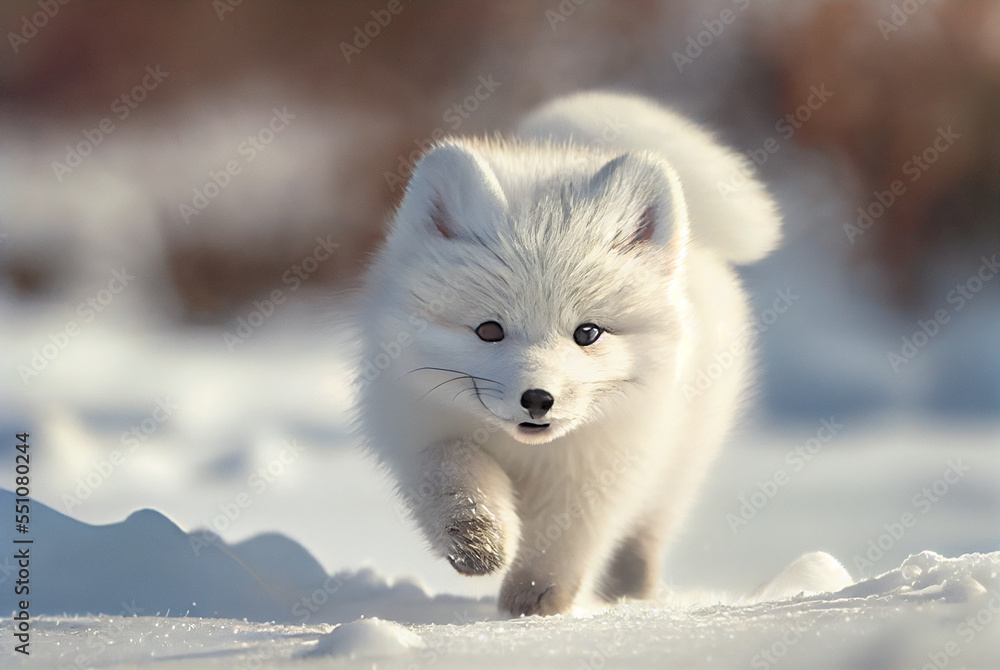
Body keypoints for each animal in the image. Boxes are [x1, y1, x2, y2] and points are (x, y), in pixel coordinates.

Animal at [355, 91, 784, 617]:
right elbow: (456, 477)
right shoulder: (417, 429)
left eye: (587, 333)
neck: (529, 455)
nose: (538, 399)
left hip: (677, 465)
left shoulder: (604, 469)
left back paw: (632, 598)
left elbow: (562, 545)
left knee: (643, 537)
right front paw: (478, 540)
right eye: (489, 330)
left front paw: (534, 605)